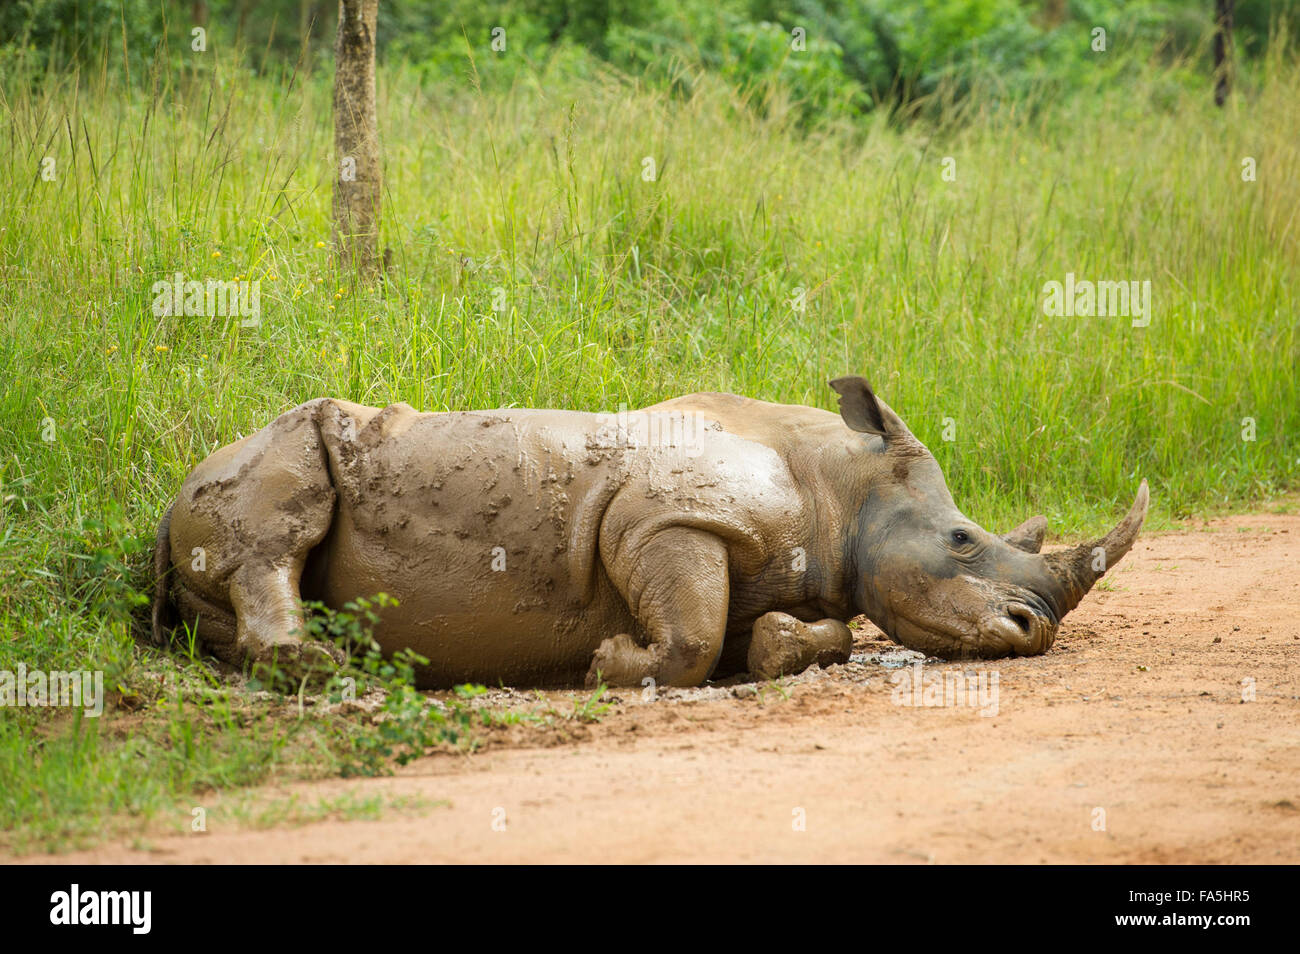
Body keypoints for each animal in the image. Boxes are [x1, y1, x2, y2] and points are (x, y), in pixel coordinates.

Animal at [151, 377, 1148, 688]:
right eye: (963, 540)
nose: (1033, 632)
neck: (842, 487)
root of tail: (164, 504)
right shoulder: (663, 519)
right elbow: (693, 635)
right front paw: (609, 665)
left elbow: (811, 632)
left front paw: (778, 648)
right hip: (264, 453)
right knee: (275, 532)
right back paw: (333, 667)